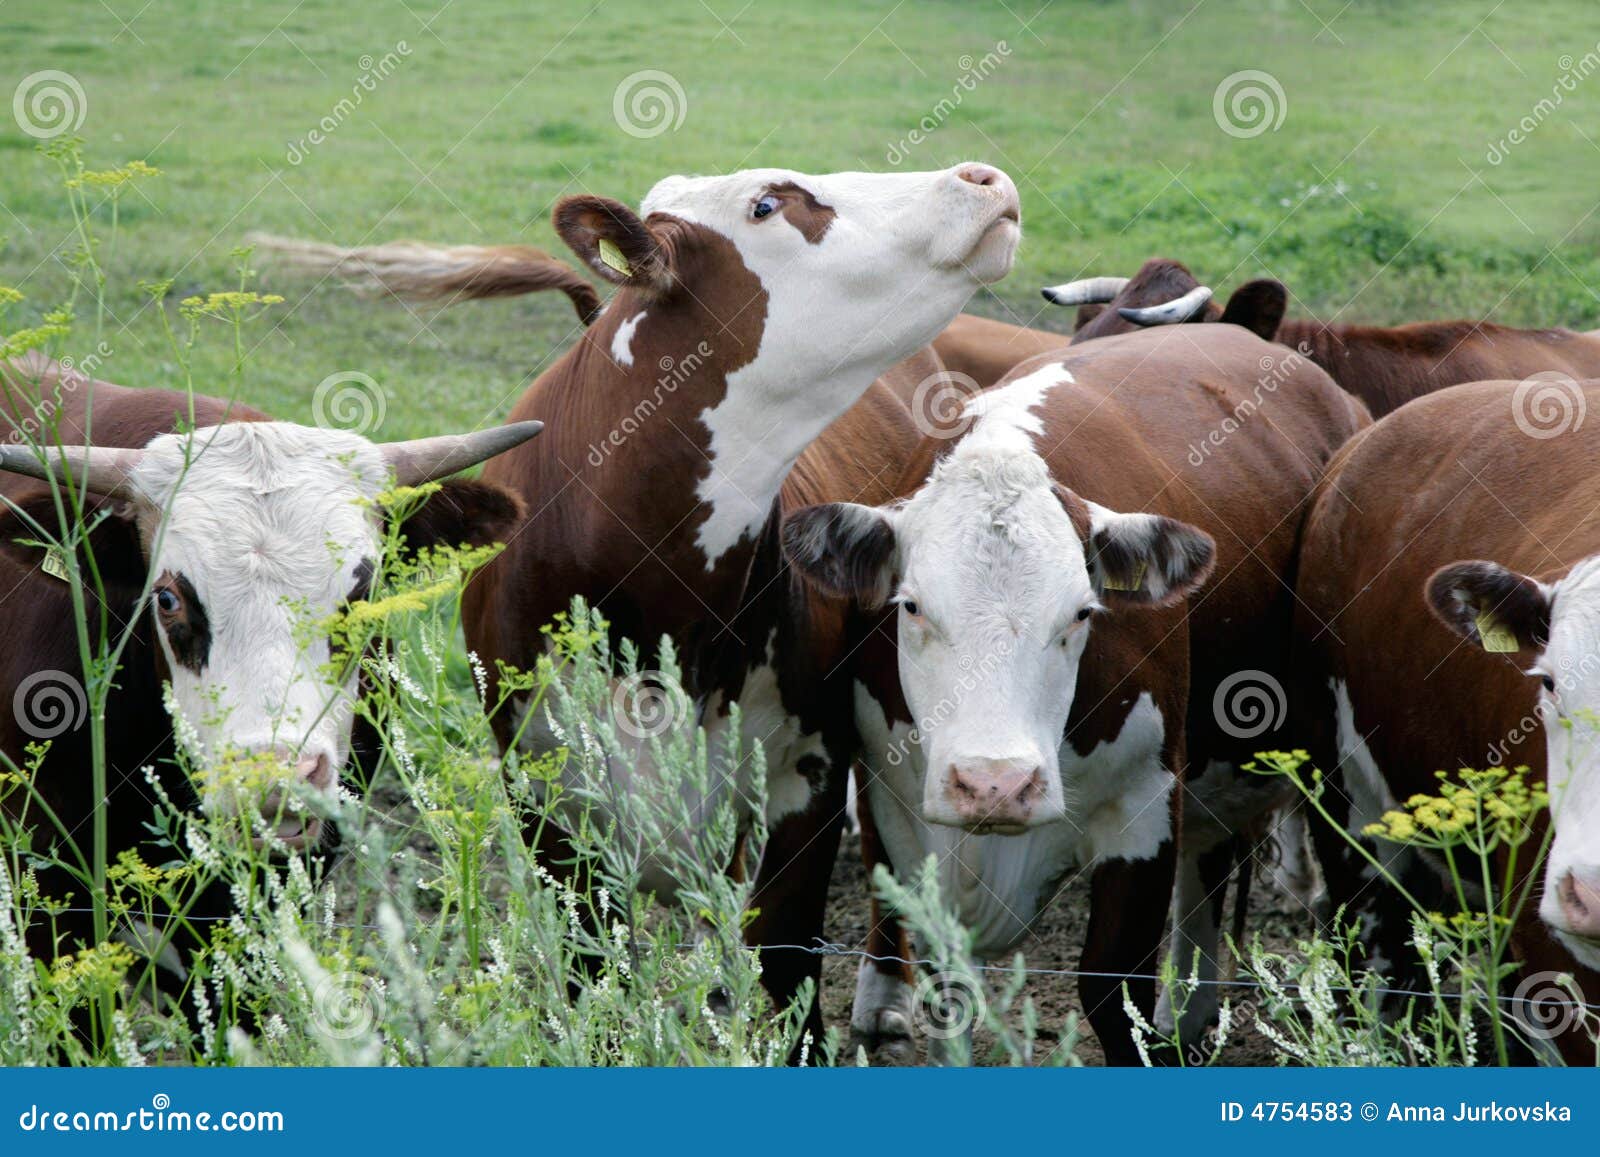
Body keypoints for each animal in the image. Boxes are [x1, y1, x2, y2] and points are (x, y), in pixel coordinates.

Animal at [261, 162, 1024, 1052]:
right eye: (768, 205)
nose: (980, 176)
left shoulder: (809, 775)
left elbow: (787, 959)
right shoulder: (552, 808)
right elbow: (596, 972)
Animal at [781, 324, 1366, 1062]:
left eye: (1082, 613)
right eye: (910, 605)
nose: (995, 784)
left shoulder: (1146, 804)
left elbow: (1111, 991)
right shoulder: (900, 811)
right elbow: (947, 991)